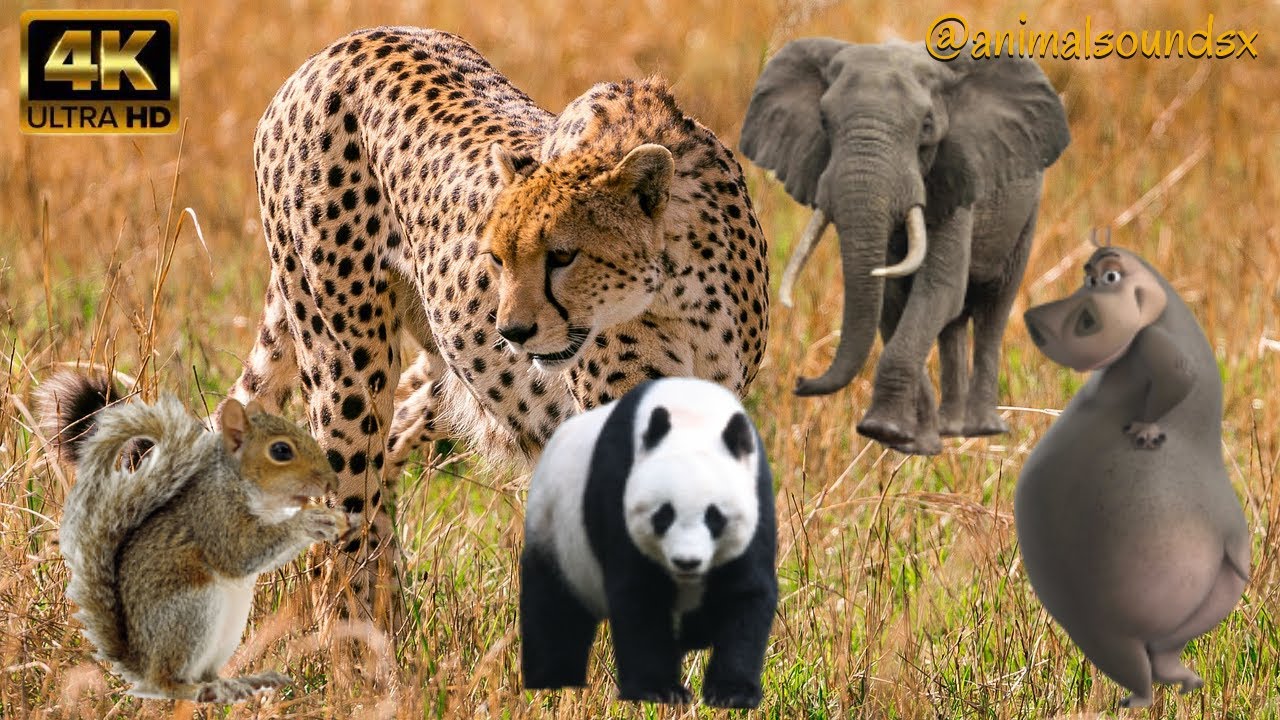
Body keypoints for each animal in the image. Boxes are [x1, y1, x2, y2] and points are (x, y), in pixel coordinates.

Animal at [224, 27, 769, 604]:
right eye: (497, 257)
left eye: (562, 256)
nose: (511, 331)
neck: (678, 286)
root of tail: (340, 46)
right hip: (346, 371)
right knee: (341, 533)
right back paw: (362, 623)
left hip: (449, 365)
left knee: (396, 436)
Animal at [740, 39, 1070, 454]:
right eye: (824, 122)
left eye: (927, 126)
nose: (801, 381)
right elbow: (892, 297)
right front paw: (912, 443)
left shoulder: (956, 176)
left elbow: (939, 289)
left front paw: (889, 433)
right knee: (953, 323)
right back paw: (950, 430)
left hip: (1026, 211)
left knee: (993, 306)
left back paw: (982, 431)